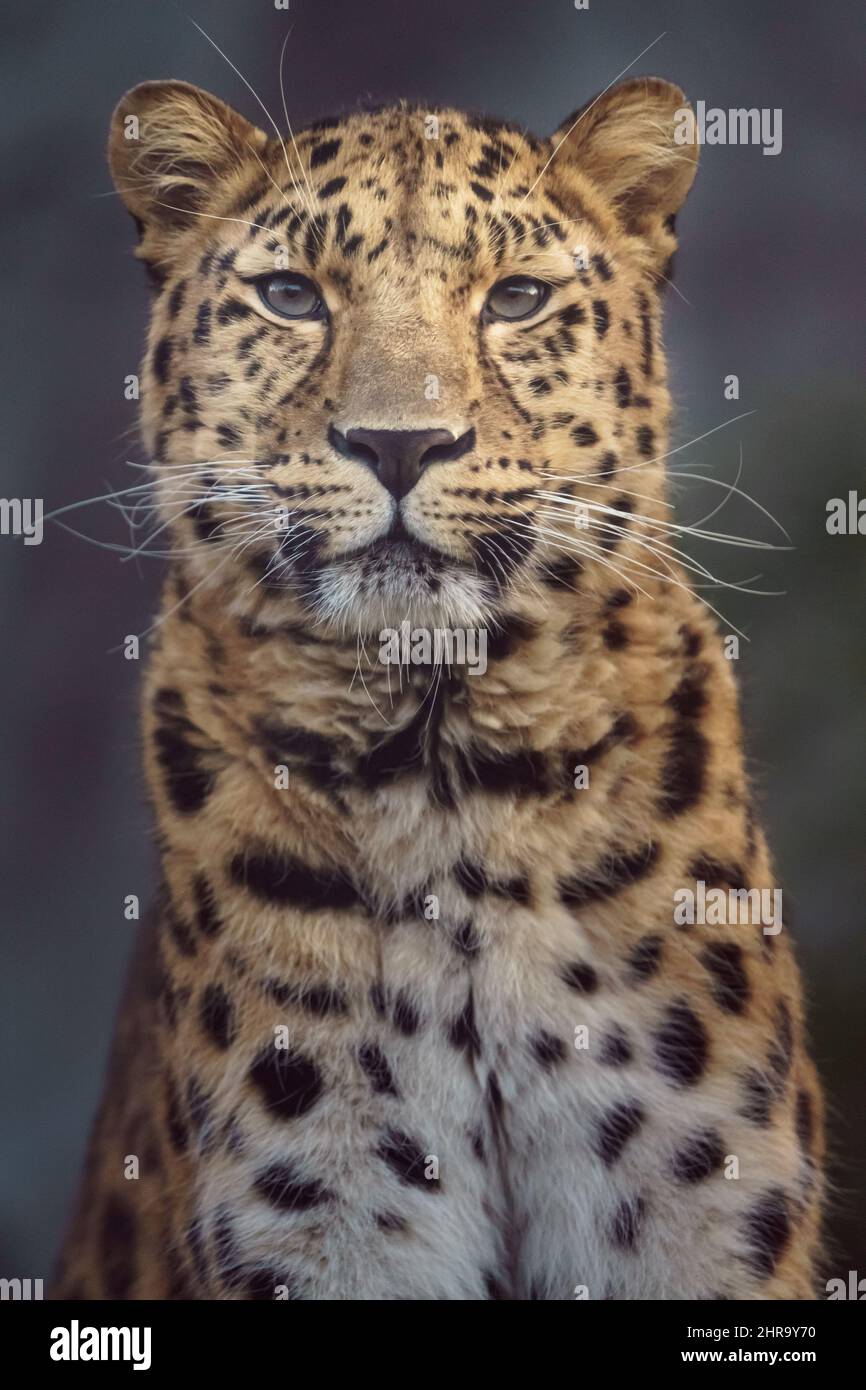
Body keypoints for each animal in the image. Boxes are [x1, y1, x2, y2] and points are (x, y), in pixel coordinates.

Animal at [52, 74, 824, 1300]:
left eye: (515, 298)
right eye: (290, 295)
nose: (399, 443)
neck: (446, 772)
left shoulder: (695, 1220)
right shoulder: (325, 1228)